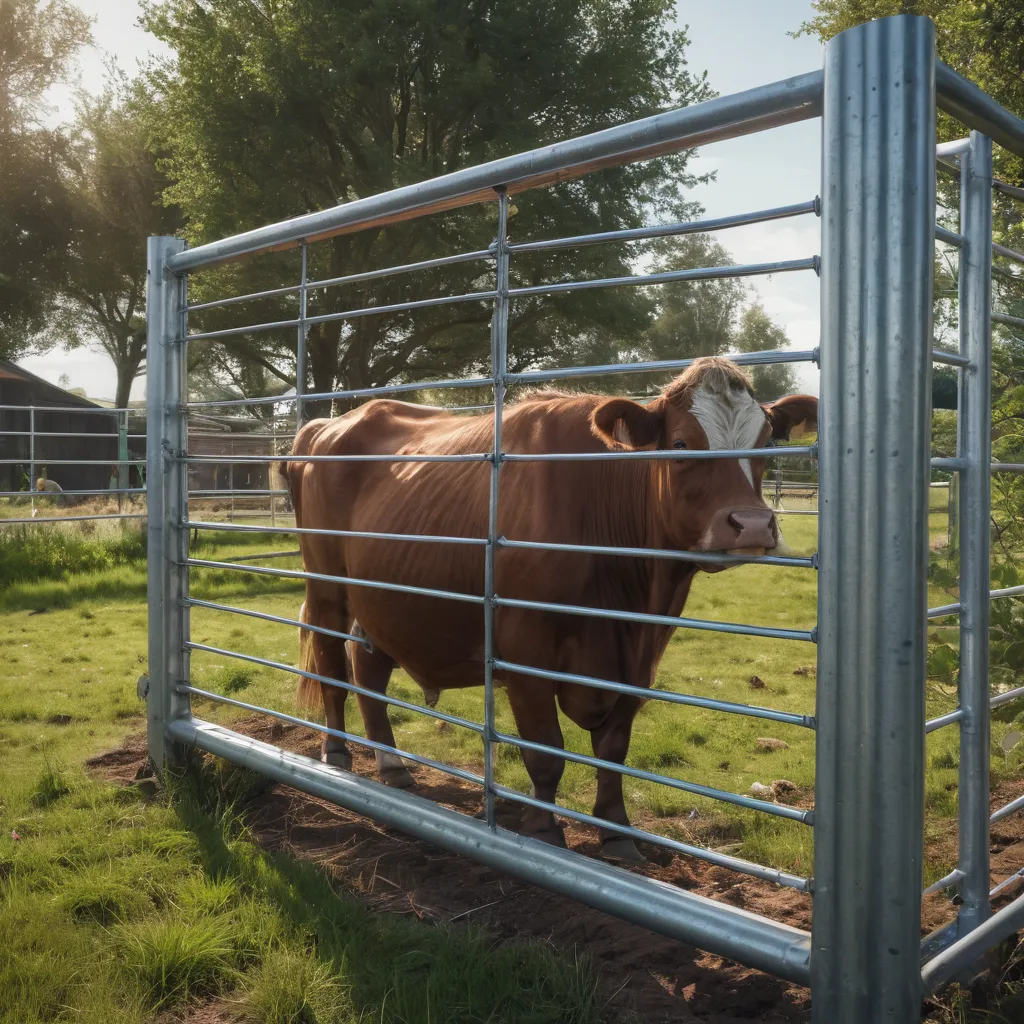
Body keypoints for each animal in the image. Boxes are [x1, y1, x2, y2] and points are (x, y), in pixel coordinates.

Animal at [282, 357, 818, 863]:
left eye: (767, 445)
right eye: (682, 443)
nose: (751, 524)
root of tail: (329, 424)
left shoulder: (637, 660)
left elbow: (613, 751)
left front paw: (616, 832)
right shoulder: (524, 649)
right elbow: (546, 751)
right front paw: (543, 830)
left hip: (377, 599)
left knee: (368, 670)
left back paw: (392, 766)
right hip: (328, 588)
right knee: (332, 667)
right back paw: (336, 752)